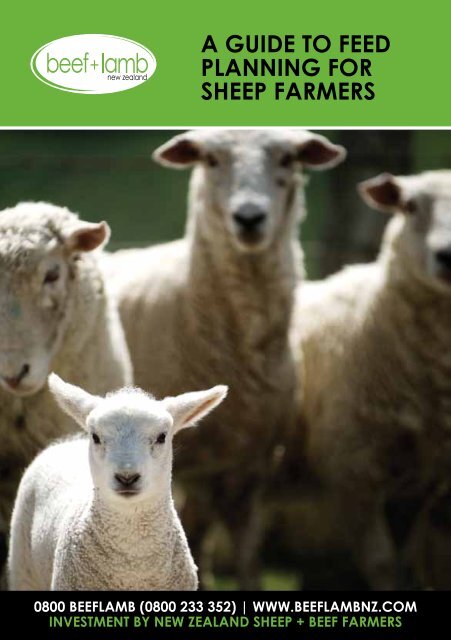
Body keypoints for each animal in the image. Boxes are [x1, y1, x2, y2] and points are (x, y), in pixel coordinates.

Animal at [8, 374, 227, 590]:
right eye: (96, 437)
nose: (126, 477)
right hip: (22, 565)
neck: (131, 562)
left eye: (162, 437)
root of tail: (67, 441)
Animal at [289, 170, 451, 589]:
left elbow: (406, 563)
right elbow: (382, 564)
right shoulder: (351, 469)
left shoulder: (422, 480)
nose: (447, 255)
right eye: (409, 206)